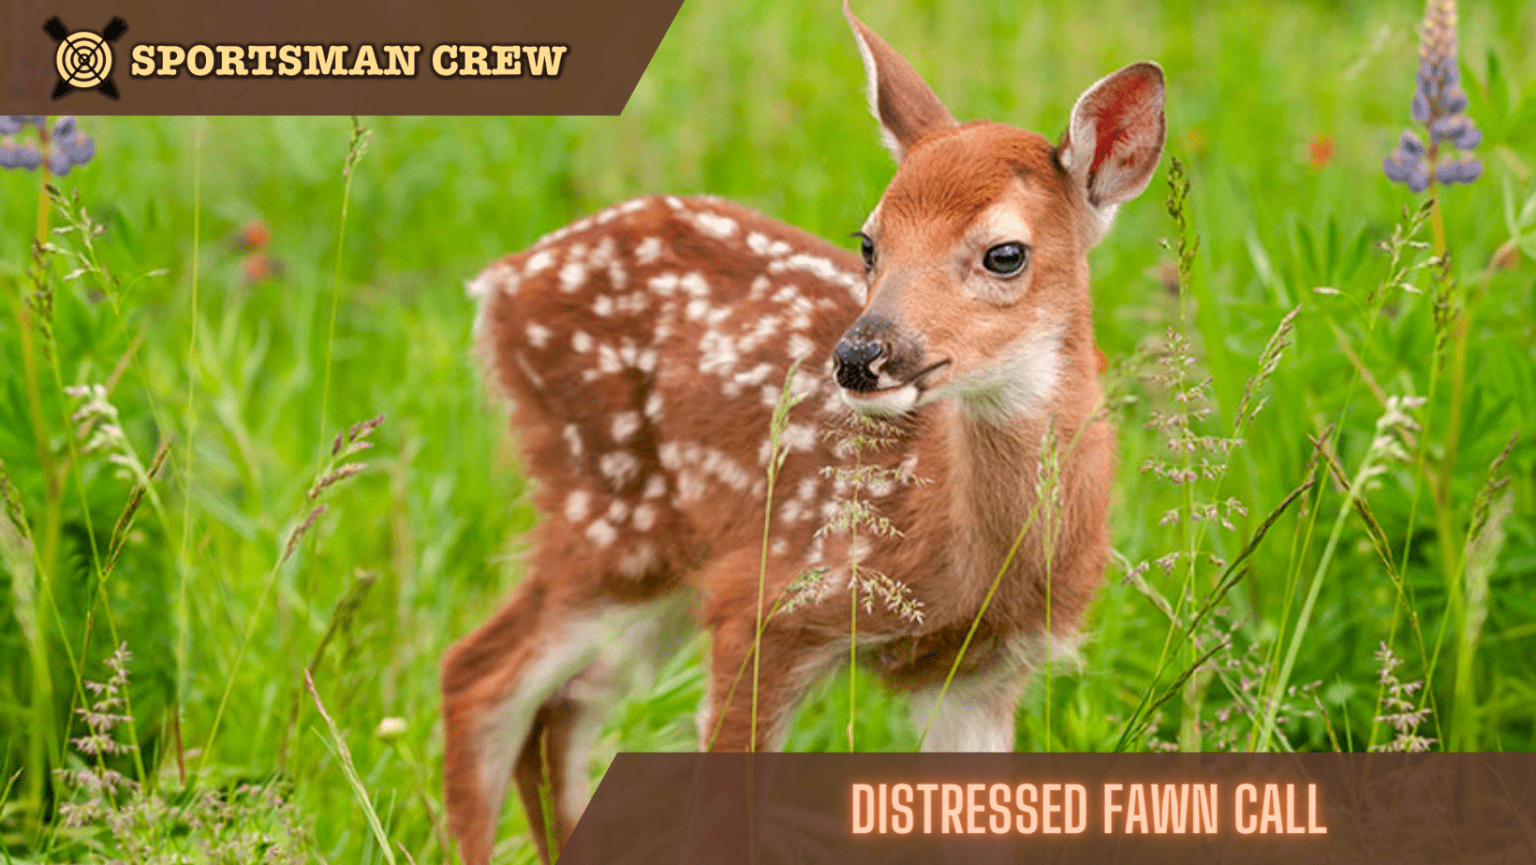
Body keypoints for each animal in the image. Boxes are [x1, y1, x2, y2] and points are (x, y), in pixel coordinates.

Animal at [441, 3, 1165, 862]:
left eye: (1005, 253)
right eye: (869, 241)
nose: (858, 356)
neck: (960, 545)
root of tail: (498, 283)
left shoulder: (980, 670)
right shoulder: (771, 602)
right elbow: (722, 821)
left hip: (669, 560)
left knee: (559, 707)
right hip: (613, 516)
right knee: (478, 677)